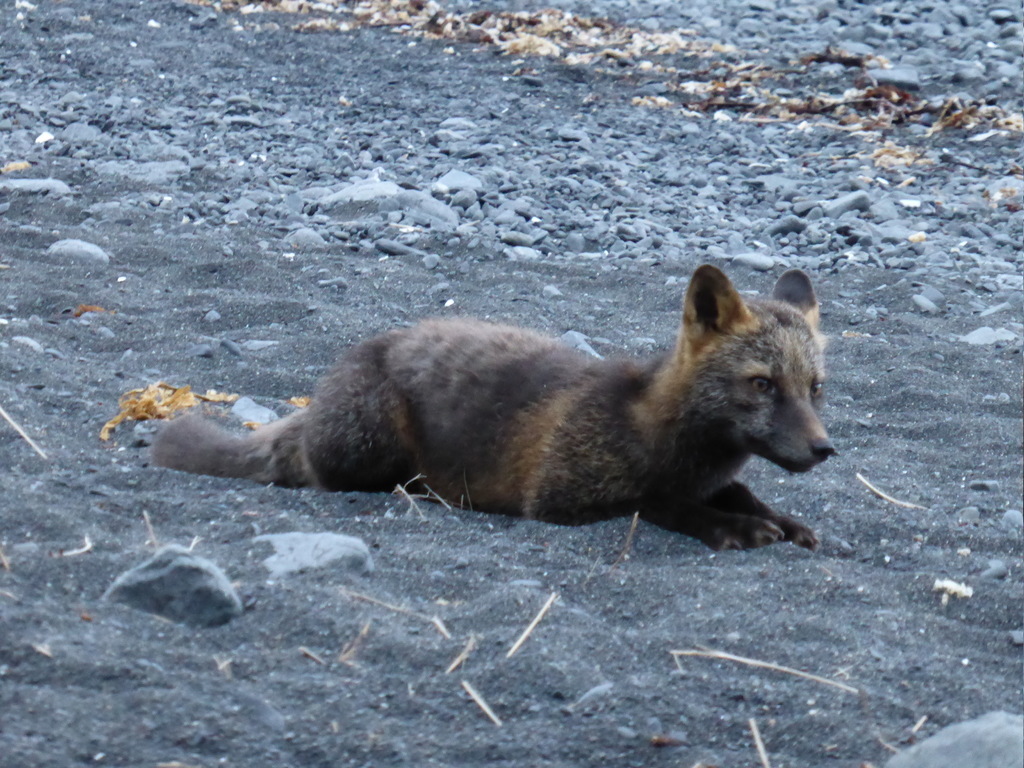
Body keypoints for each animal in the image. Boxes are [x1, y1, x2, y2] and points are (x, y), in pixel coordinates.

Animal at [152, 264, 834, 551]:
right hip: (371, 450)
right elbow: (663, 505)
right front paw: (732, 527)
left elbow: (743, 495)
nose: (824, 449)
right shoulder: (558, 498)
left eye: (814, 387)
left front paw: (777, 517)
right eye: (763, 385)